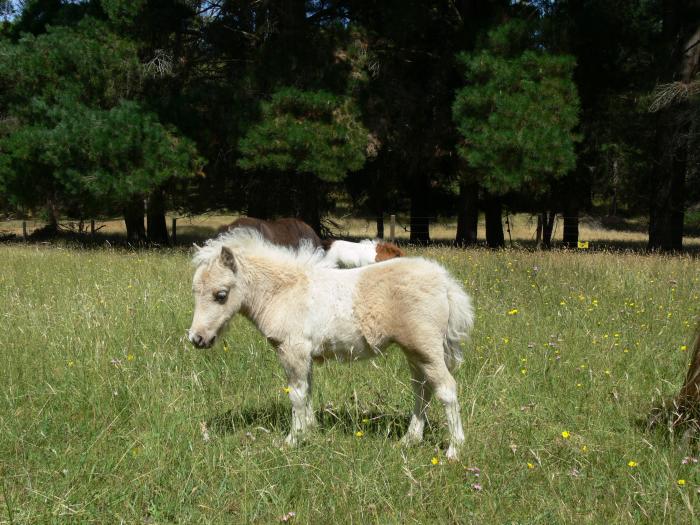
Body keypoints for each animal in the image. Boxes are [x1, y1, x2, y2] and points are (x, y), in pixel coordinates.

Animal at [187, 228, 473, 459]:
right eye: (195, 291)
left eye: (221, 295)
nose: (197, 338)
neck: (285, 291)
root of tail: (444, 281)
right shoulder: (304, 355)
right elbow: (307, 391)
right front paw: (310, 432)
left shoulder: (292, 350)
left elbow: (297, 394)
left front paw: (292, 440)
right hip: (413, 351)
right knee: (422, 389)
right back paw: (409, 440)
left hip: (426, 348)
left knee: (446, 389)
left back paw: (454, 450)